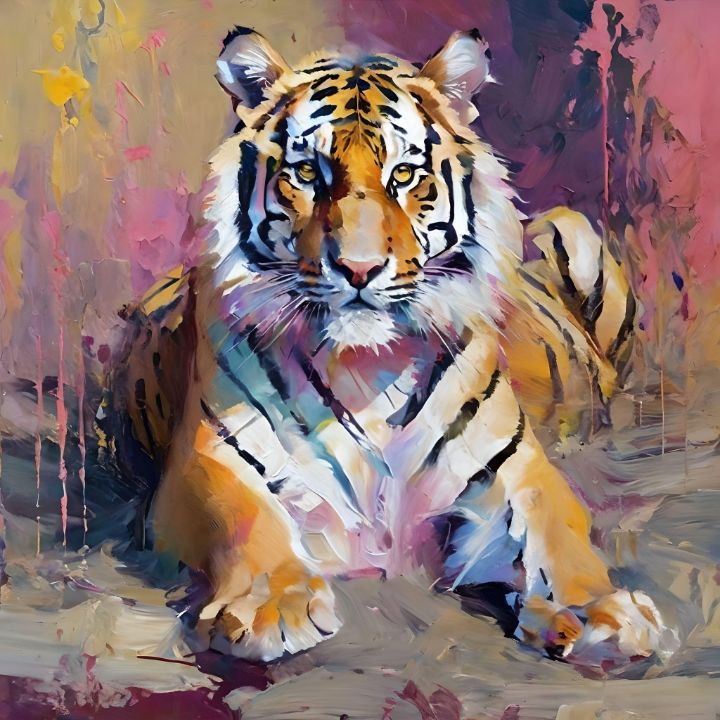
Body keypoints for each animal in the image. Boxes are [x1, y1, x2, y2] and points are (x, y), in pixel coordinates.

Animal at [101, 27, 674, 664]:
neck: (366, 367)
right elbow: (243, 517)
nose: (358, 268)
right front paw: (271, 606)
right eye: (308, 173)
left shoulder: (513, 465)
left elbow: (559, 530)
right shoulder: (208, 458)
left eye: (403, 176)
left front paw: (600, 610)